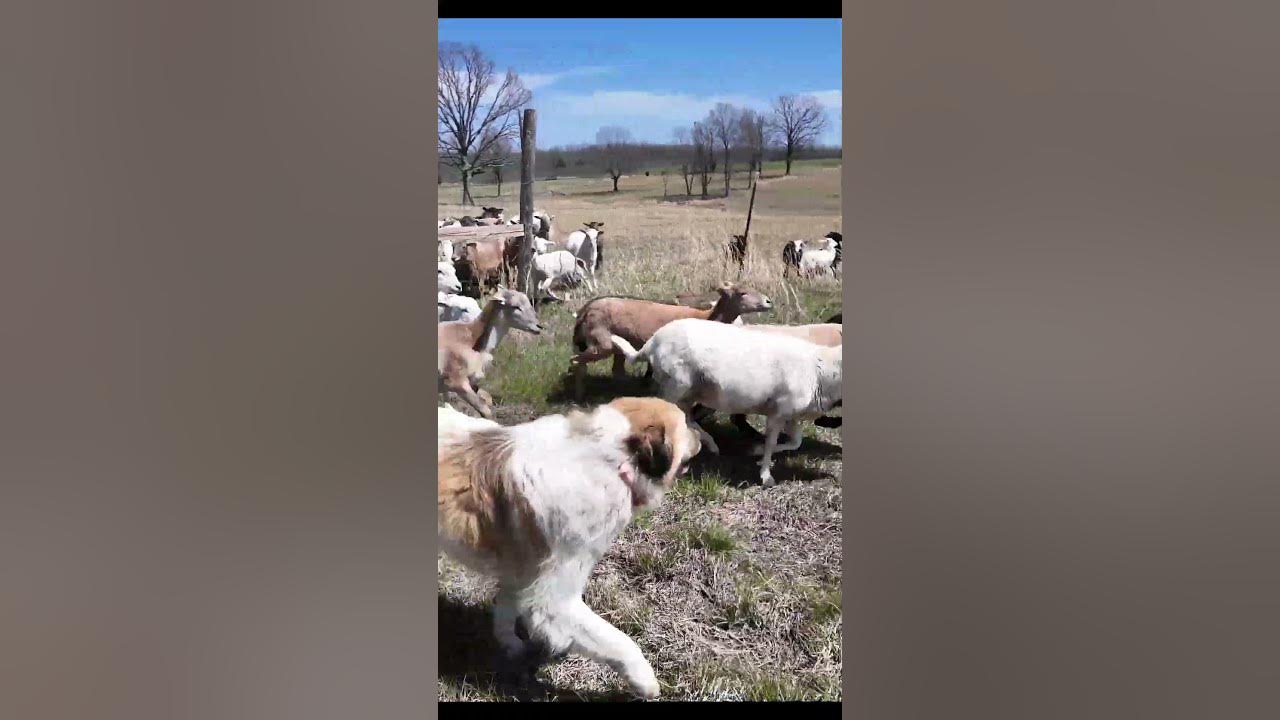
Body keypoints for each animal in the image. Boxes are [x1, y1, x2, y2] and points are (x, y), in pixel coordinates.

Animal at [568, 282, 772, 401]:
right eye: (742, 293)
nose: (768, 302)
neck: (708, 316)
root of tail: (585, 309)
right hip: (601, 342)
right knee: (576, 361)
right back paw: (579, 396)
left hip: (613, 345)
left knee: (616, 371)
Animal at [610, 318, 841, 486]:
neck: (821, 370)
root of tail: (653, 341)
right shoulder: (778, 413)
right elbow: (771, 443)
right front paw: (766, 474)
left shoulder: (791, 415)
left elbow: (796, 442)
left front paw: (756, 454)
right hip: (677, 384)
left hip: (691, 390)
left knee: (686, 416)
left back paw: (710, 444)